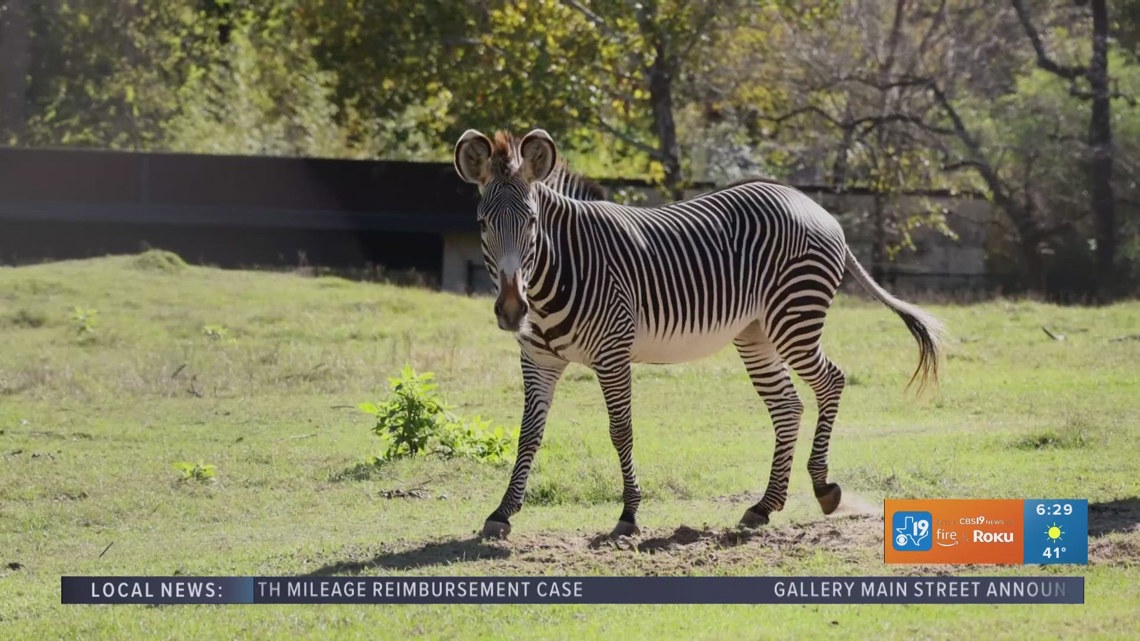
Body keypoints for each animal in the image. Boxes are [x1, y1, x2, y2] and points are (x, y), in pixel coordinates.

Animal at [453, 128, 944, 539]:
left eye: (533, 222)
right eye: (482, 224)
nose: (512, 310)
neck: (559, 269)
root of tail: (812, 204)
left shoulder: (613, 352)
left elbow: (620, 430)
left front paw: (629, 515)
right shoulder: (538, 360)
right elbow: (528, 433)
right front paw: (502, 513)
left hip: (795, 318)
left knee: (831, 381)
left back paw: (824, 488)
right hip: (757, 334)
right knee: (787, 407)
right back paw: (764, 506)